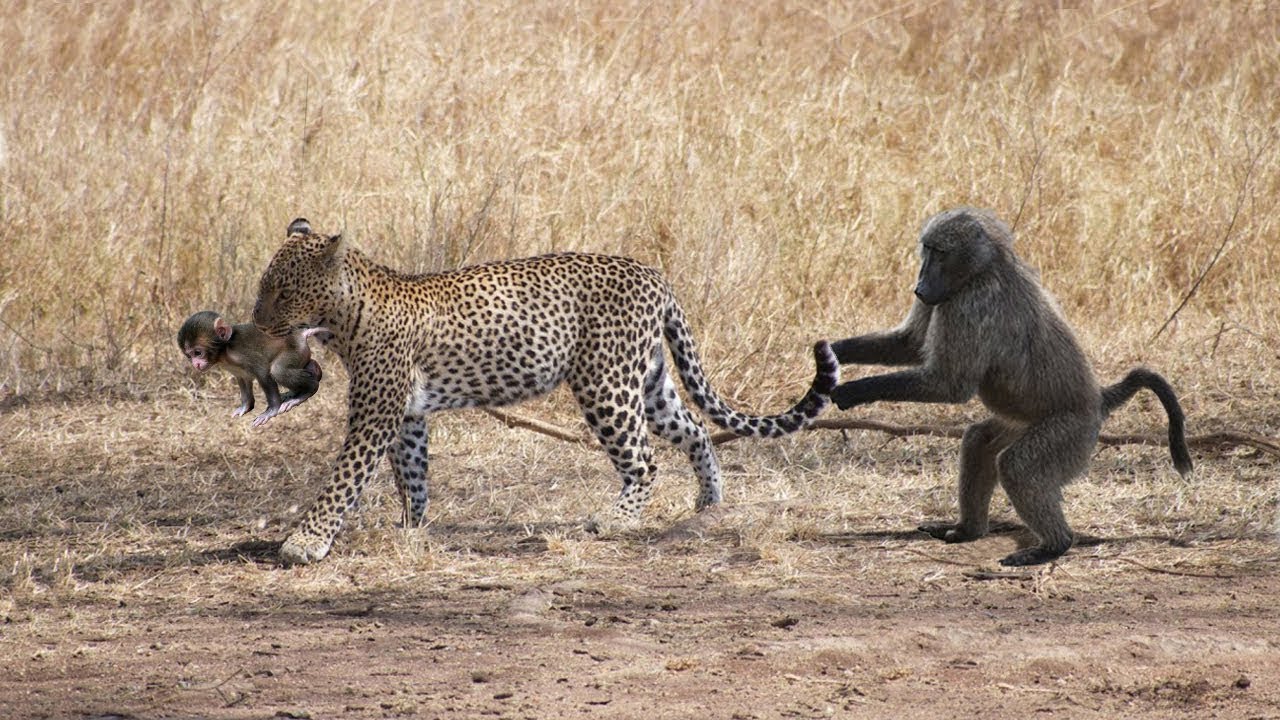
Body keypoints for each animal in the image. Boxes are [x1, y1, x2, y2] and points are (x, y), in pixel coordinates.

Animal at [177, 311, 330, 427]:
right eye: (189, 356)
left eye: (198, 353)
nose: (195, 364)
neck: (224, 350)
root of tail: (299, 334)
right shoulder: (236, 368)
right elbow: (243, 378)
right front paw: (246, 407)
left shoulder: (241, 353)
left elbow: (263, 372)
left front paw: (272, 410)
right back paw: (297, 389)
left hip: (295, 349)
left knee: (278, 370)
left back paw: (306, 391)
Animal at [253, 217, 838, 565]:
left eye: (280, 290)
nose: (255, 322)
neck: (343, 319)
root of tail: (654, 274)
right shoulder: (407, 414)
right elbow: (412, 475)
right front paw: (411, 529)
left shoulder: (376, 413)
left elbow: (343, 479)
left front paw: (305, 542)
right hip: (648, 380)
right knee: (694, 429)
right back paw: (708, 504)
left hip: (605, 383)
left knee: (644, 458)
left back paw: (616, 519)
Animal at [826, 207, 1193, 566]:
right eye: (926, 249)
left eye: (940, 252)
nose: (920, 287)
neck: (985, 267)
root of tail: (1100, 400)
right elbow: (911, 343)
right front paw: (832, 350)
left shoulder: (971, 303)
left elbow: (950, 385)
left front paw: (851, 391)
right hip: (1021, 422)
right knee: (978, 442)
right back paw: (969, 530)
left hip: (1070, 431)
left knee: (1018, 466)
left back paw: (1053, 546)